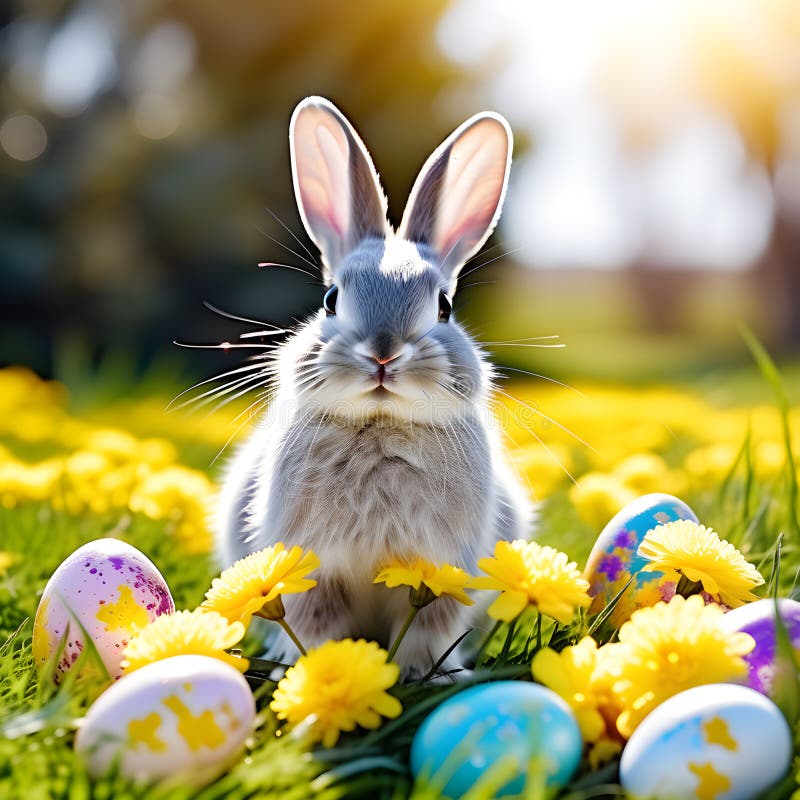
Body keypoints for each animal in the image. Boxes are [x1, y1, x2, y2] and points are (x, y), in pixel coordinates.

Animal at [216, 96, 533, 678]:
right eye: (331, 301)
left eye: (444, 308)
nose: (383, 353)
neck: (380, 425)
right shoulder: (313, 570)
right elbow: (318, 623)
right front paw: (326, 668)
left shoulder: (441, 572)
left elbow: (428, 629)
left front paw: (425, 675)